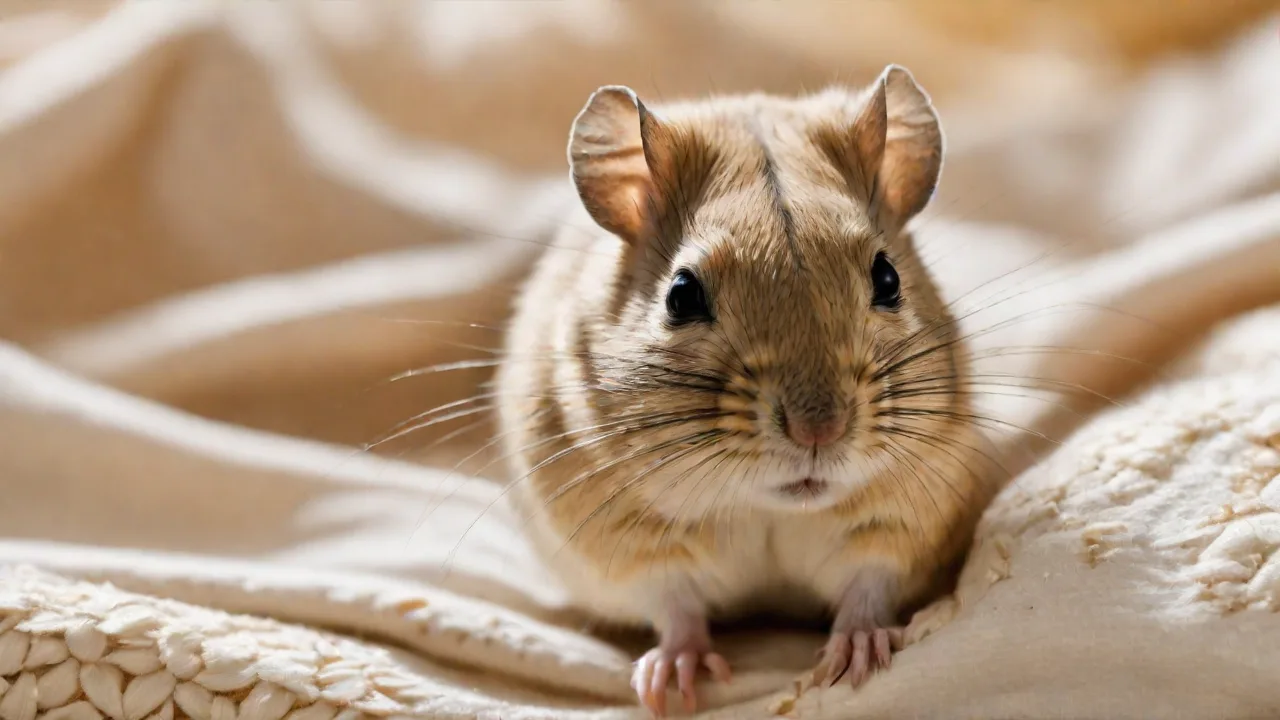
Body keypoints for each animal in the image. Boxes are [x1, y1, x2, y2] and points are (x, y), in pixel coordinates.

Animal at [495, 64, 994, 716]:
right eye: (681, 294)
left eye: (887, 279)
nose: (818, 431)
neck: (770, 506)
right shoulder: (628, 538)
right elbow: (674, 603)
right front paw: (670, 684)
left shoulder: (905, 518)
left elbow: (868, 584)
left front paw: (854, 660)